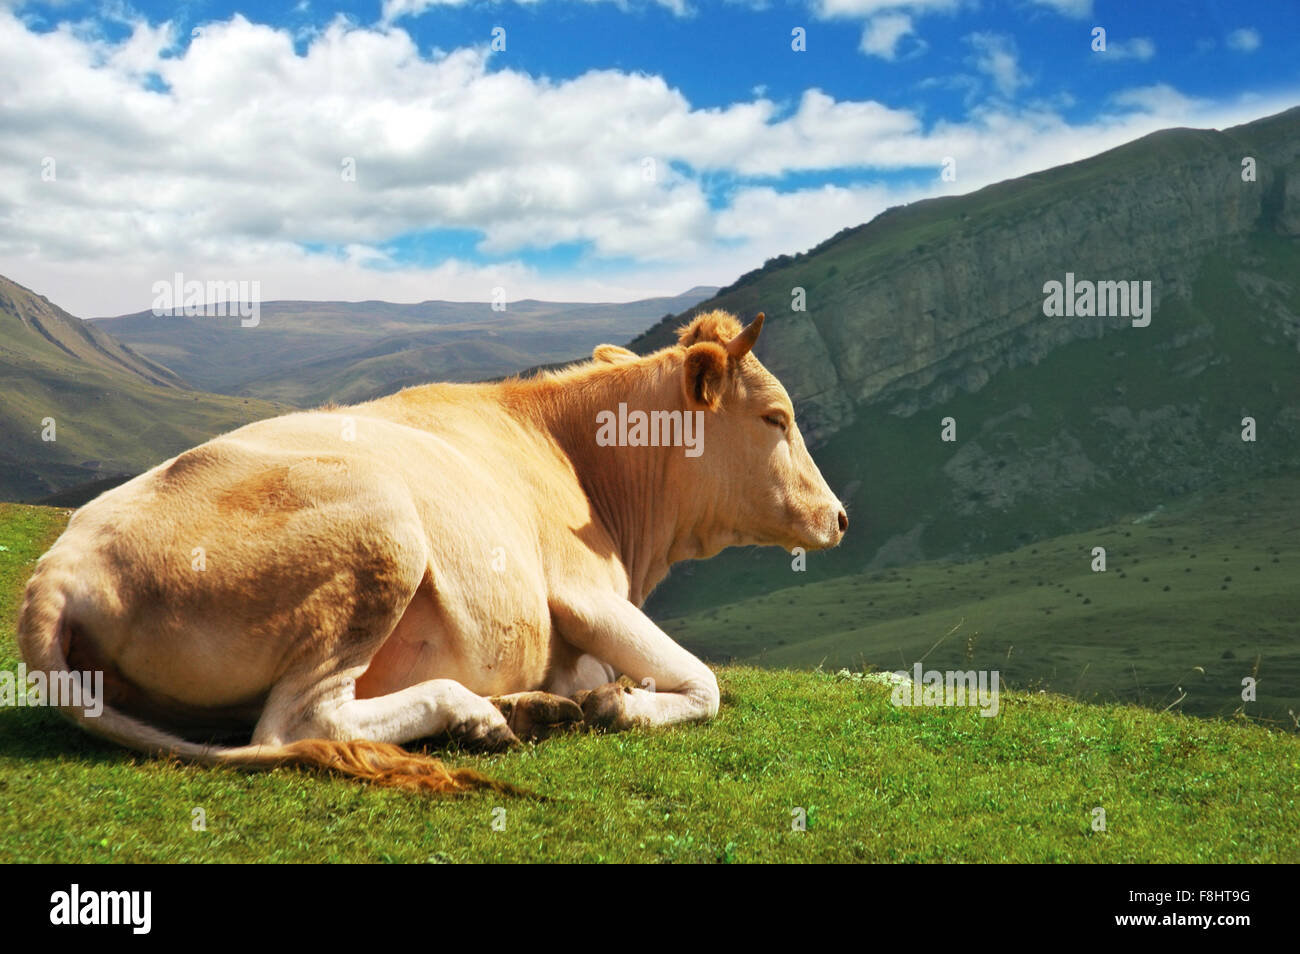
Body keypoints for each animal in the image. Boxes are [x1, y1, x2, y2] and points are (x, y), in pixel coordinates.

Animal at [17, 309, 846, 793]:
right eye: (776, 418)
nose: (839, 517)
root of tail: (57, 568)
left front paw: (588, 691)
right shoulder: (583, 591)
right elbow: (704, 684)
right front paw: (621, 702)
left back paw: (524, 709)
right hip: (383, 532)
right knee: (302, 724)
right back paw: (478, 713)